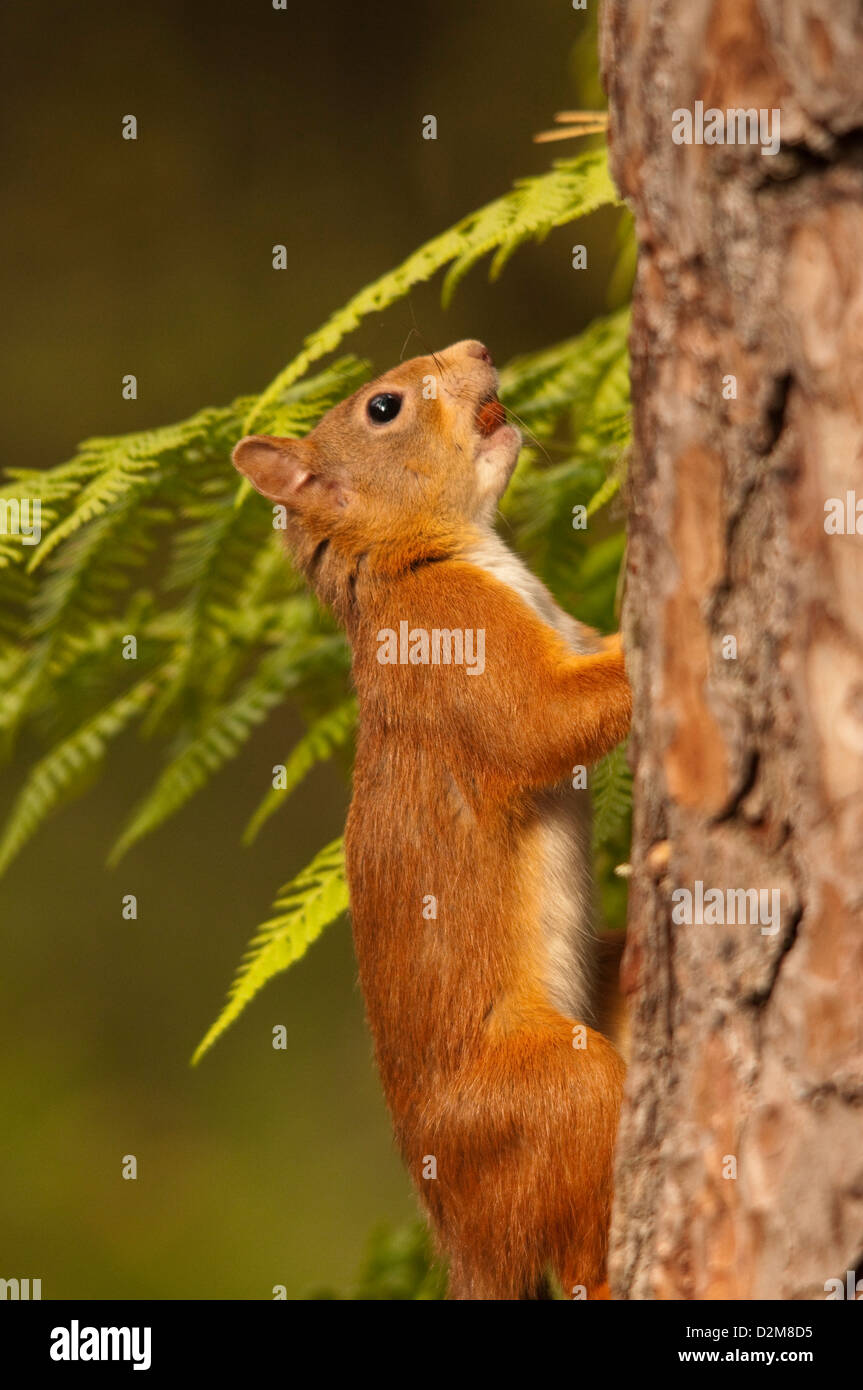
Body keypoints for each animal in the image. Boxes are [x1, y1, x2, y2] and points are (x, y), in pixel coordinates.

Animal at [233, 339, 632, 1300]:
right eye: (384, 408)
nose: (477, 350)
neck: (418, 563)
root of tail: (464, 1236)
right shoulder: (458, 649)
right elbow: (548, 723)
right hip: (552, 1091)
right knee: (581, 1247)